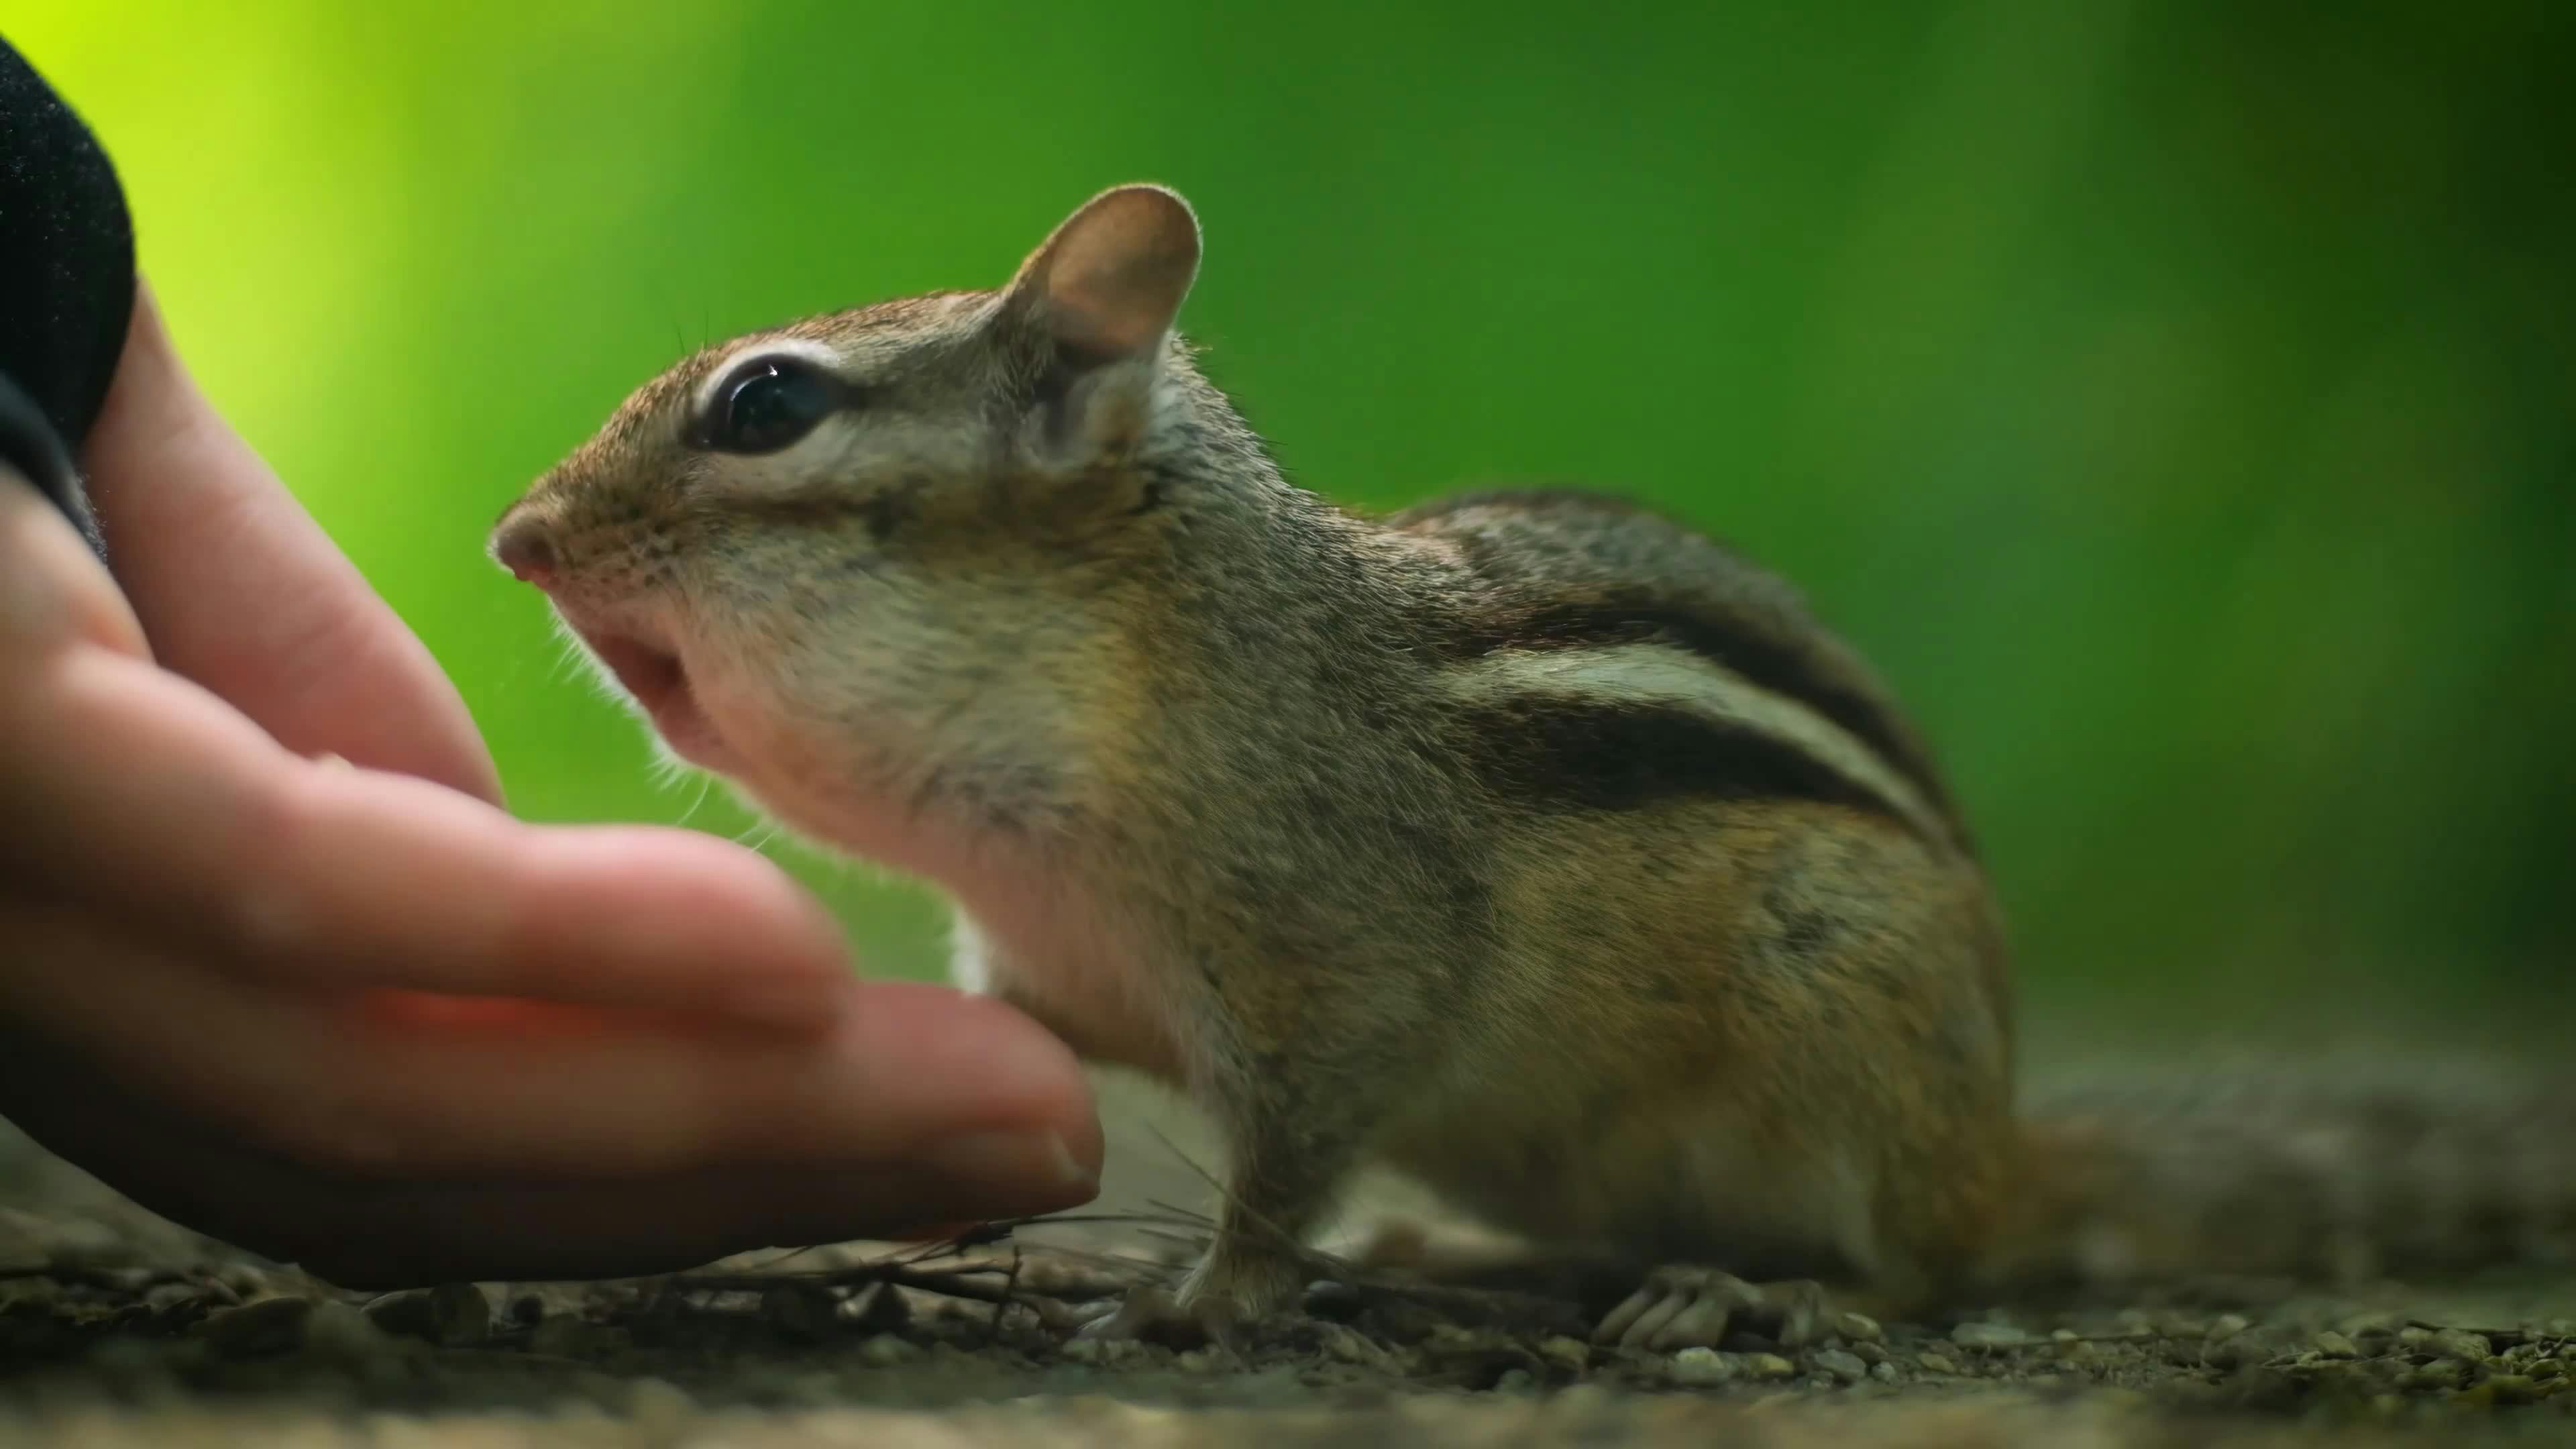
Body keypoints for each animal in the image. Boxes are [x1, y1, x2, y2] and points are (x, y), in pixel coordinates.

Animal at [488, 184, 2575, 1347]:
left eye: (767, 406)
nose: (516, 537)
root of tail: (2006, 1134)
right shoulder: (1053, 962)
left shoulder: (1343, 960)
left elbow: (1287, 1153)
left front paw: (1201, 1294)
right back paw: (1453, 1245)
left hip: (1840, 1006)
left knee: (1922, 1265)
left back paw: (1755, 1291)